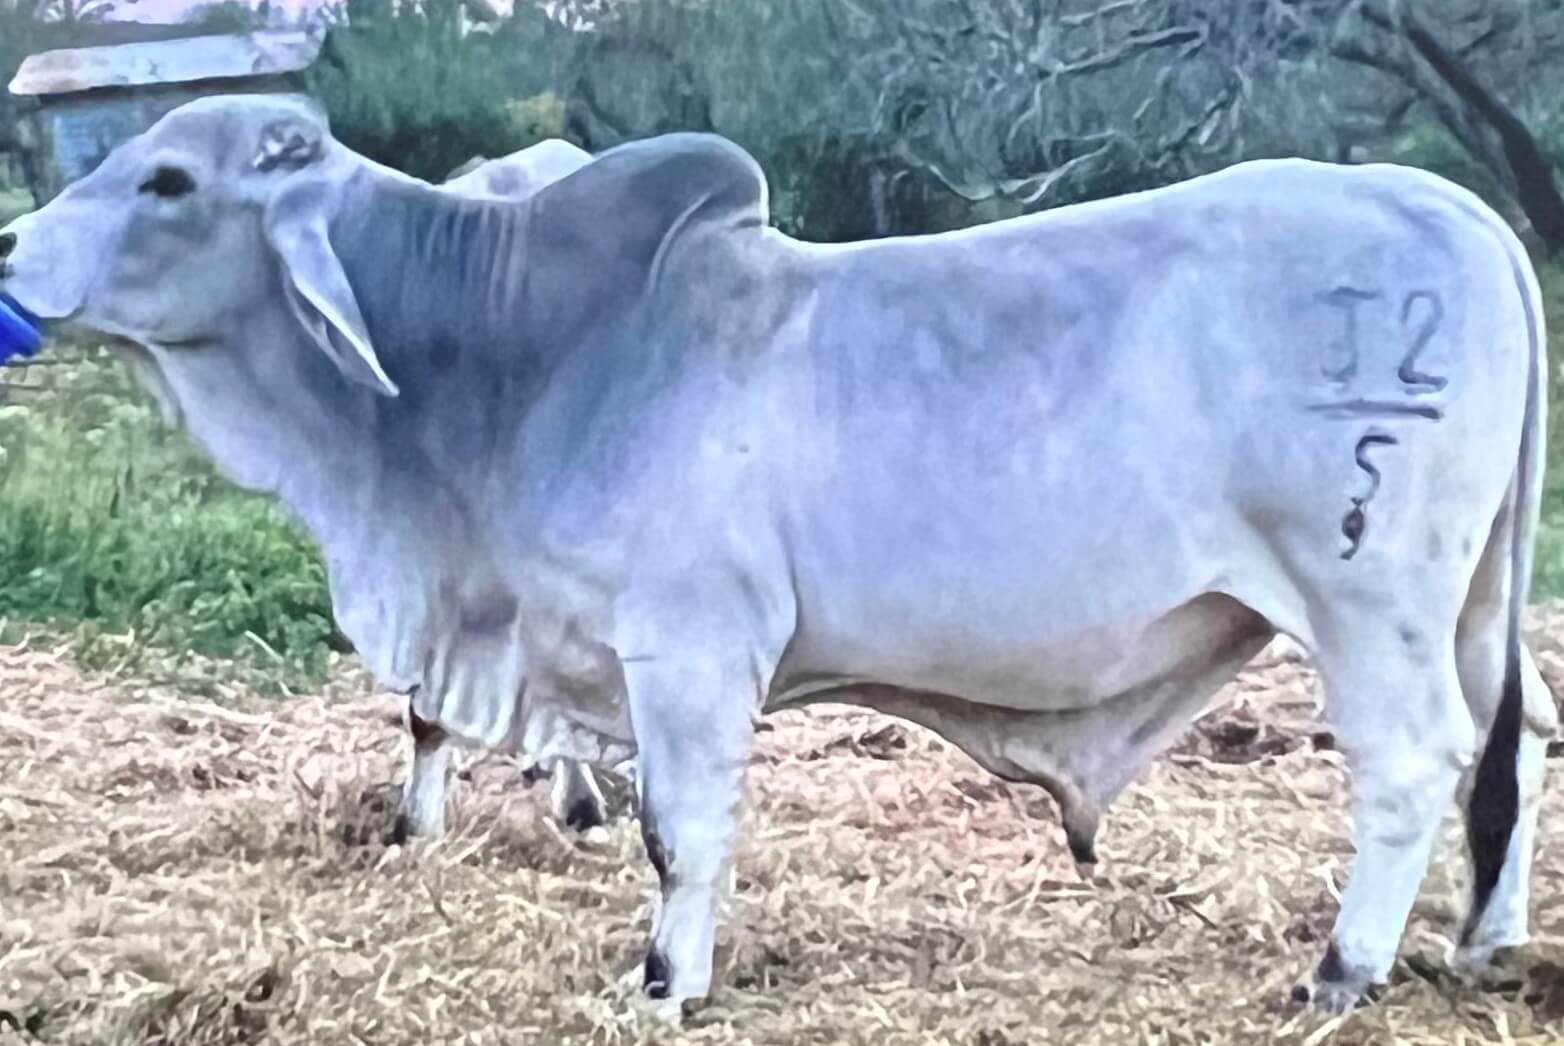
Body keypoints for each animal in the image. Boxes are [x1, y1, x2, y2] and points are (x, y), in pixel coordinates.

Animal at [0, 93, 1553, 1022]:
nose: (12, 254)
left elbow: (678, 834)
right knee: (1515, 740)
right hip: (1474, 598)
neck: (516, 351)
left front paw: (663, 981)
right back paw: (1482, 940)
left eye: (166, 177)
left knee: (1413, 760)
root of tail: (1457, 211)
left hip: (1367, 599)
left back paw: (1340, 969)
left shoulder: (686, 648)